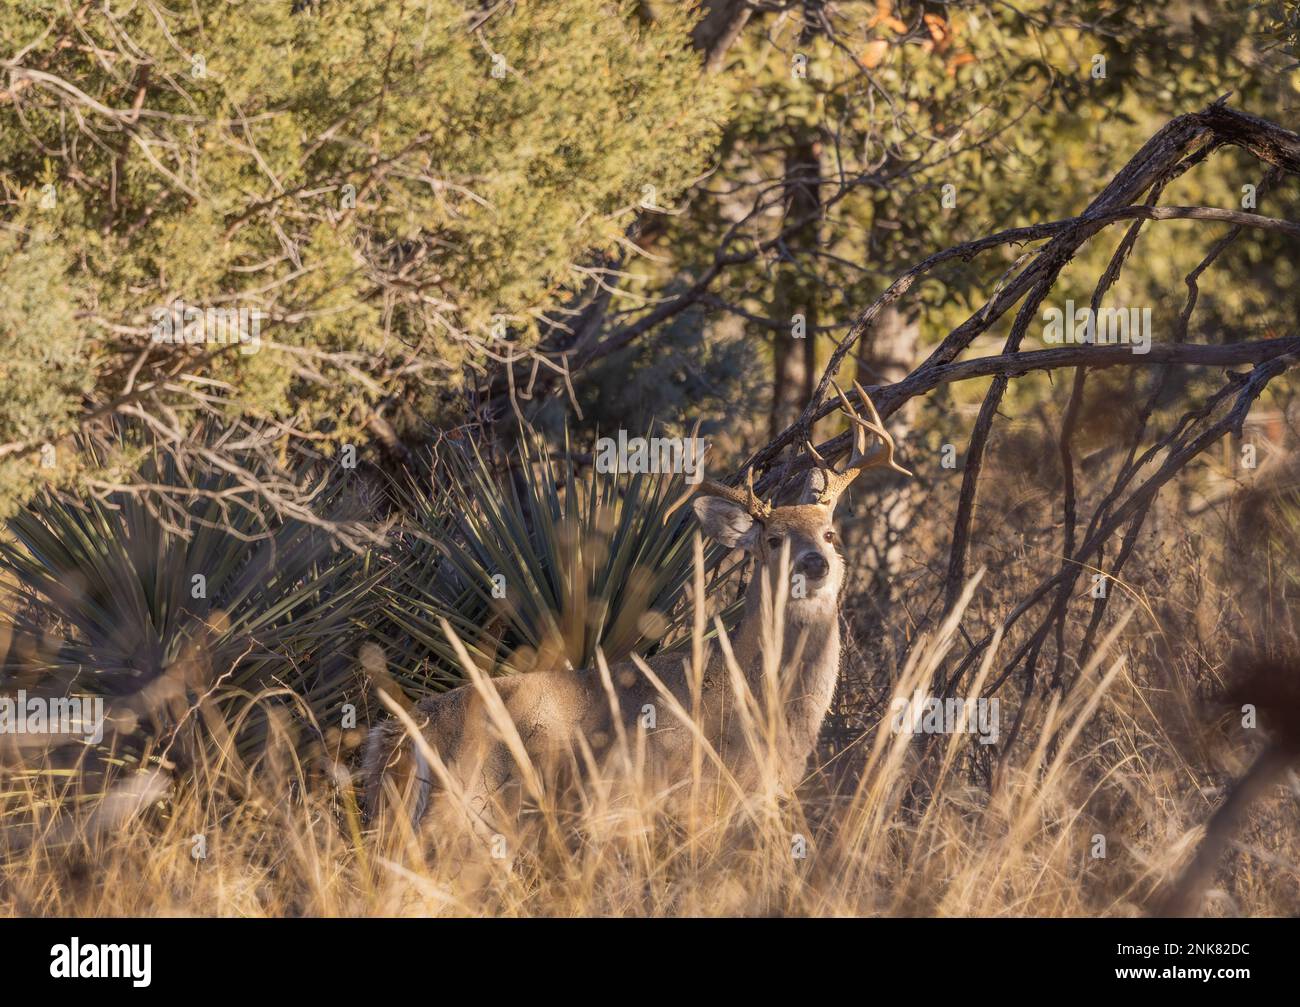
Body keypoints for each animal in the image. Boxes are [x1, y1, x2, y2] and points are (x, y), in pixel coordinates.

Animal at [361, 383, 909, 853]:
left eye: (830, 533)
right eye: (773, 540)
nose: (814, 563)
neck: (765, 705)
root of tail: (407, 730)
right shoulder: (699, 802)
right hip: (473, 802)